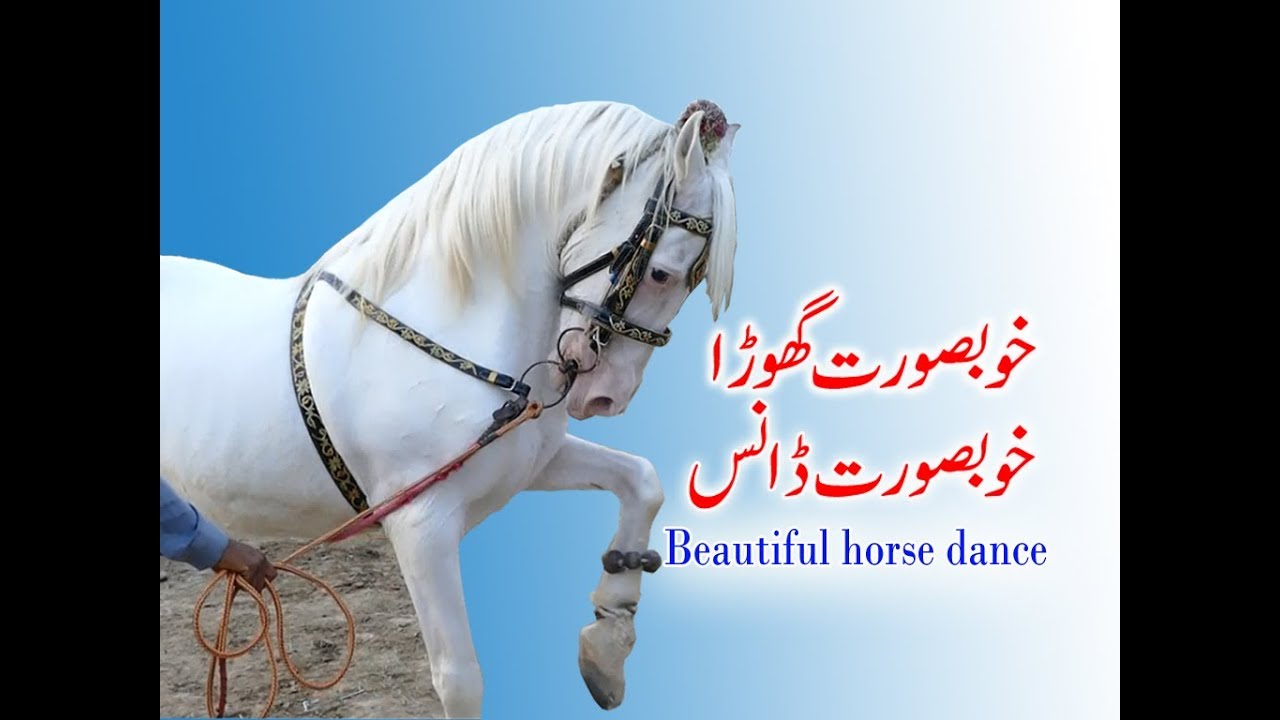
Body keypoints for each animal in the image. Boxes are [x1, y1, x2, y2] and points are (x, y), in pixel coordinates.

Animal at [159, 99, 739, 717]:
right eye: (661, 271)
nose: (607, 396)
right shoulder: (421, 526)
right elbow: (461, 681)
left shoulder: (530, 461)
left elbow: (642, 481)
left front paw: (607, 642)